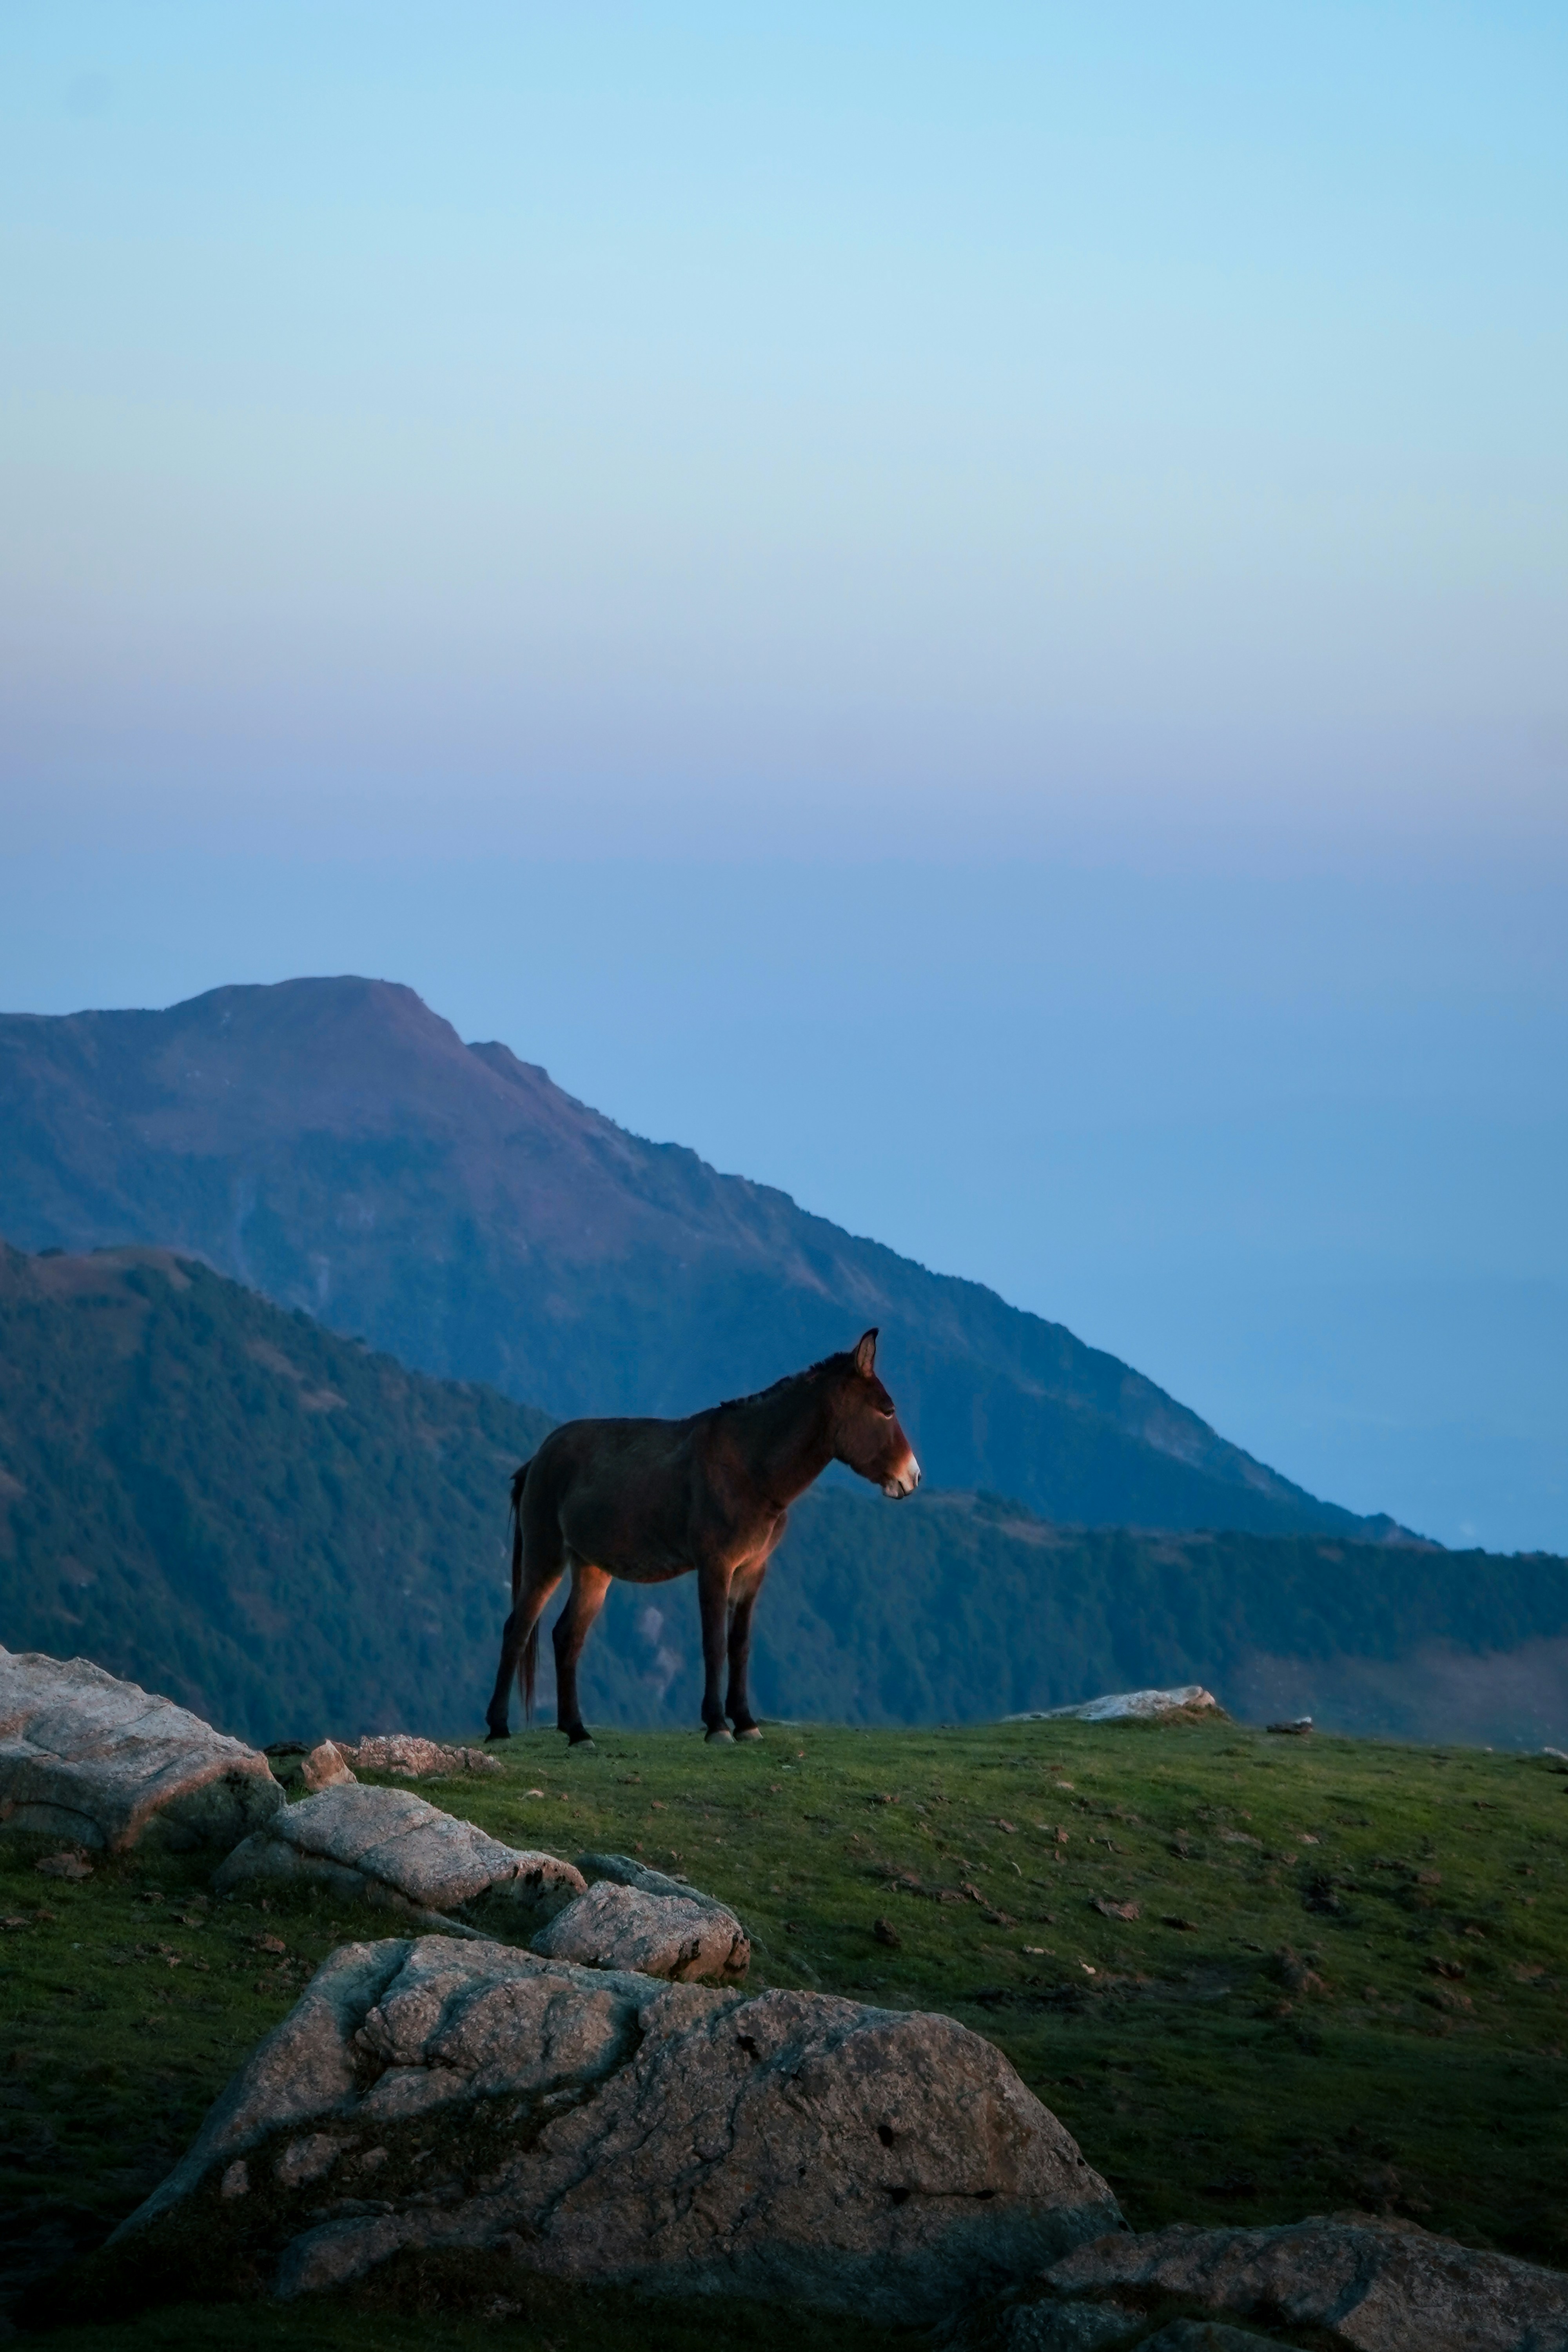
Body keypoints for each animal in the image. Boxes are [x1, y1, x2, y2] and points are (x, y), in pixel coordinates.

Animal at [484, 1329, 920, 1748]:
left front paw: (745, 1723)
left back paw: (577, 1732)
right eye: (888, 1411)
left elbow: (739, 1645)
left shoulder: (752, 1570)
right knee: (518, 1629)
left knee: (566, 1637)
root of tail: (539, 1457)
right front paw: (717, 1726)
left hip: (592, 1567)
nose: (913, 1477)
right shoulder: (716, 1566)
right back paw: (499, 1728)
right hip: (546, 1556)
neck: (751, 1469)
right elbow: (713, 1643)